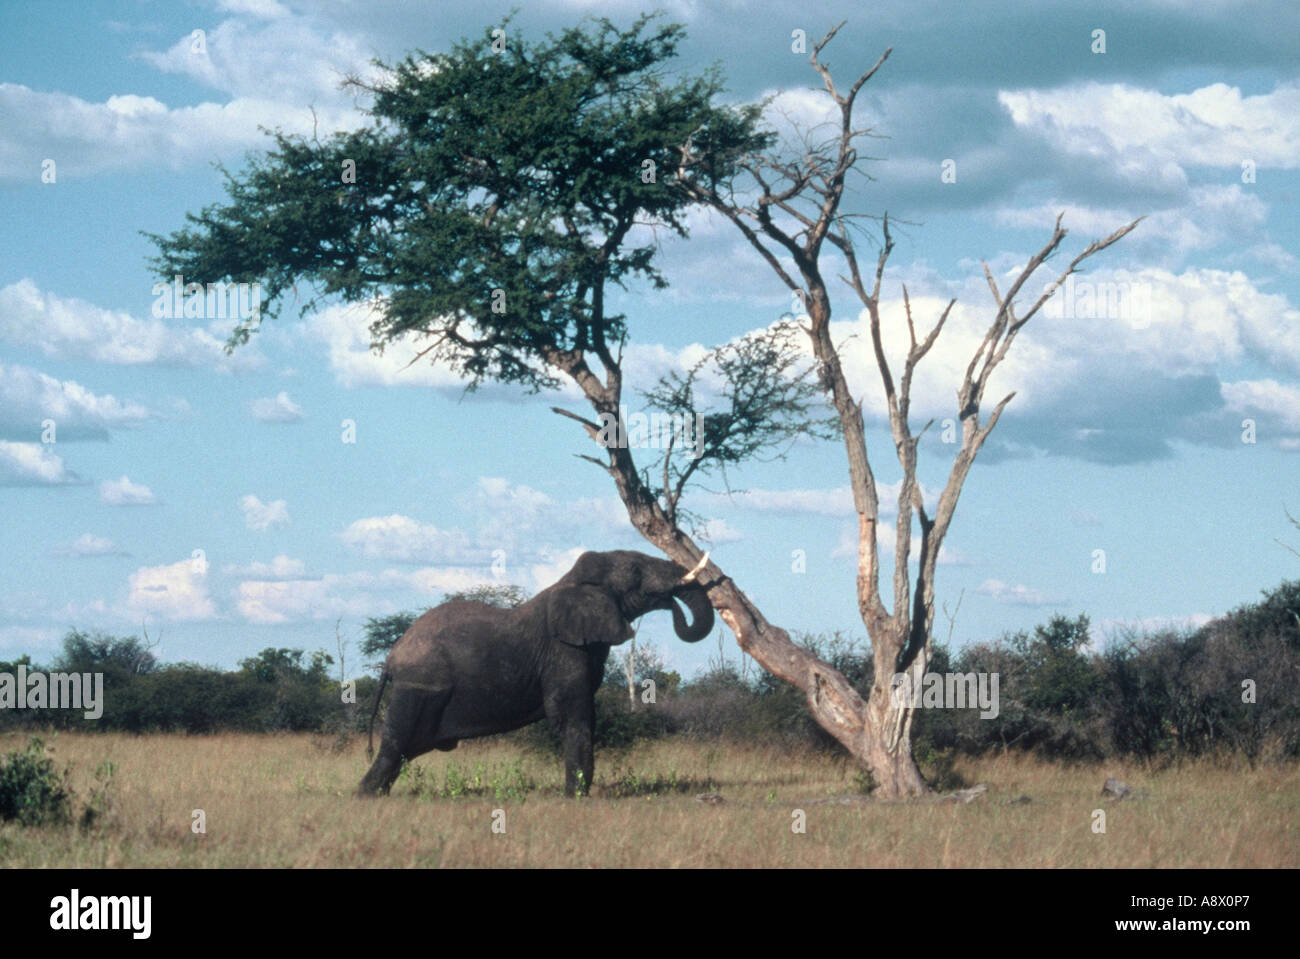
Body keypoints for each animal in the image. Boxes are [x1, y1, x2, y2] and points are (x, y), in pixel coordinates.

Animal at [358, 549, 714, 797]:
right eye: (636, 571)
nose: (672, 604)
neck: (571, 582)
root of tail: (392, 657)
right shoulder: (563, 650)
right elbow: (572, 716)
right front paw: (576, 797)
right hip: (419, 686)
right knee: (395, 744)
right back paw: (366, 797)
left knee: (406, 748)